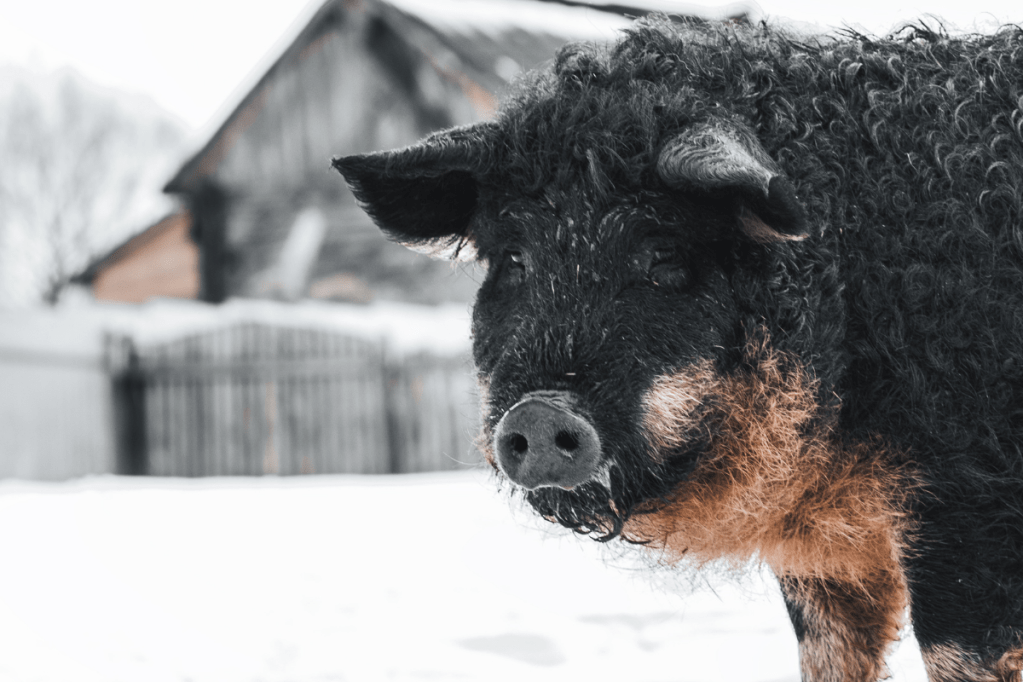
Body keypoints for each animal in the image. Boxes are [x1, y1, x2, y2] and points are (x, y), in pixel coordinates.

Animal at [333, 17, 1023, 682]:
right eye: (514, 259)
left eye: (663, 257)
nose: (541, 410)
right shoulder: (825, 561)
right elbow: (828, 657)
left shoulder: (971, 509)